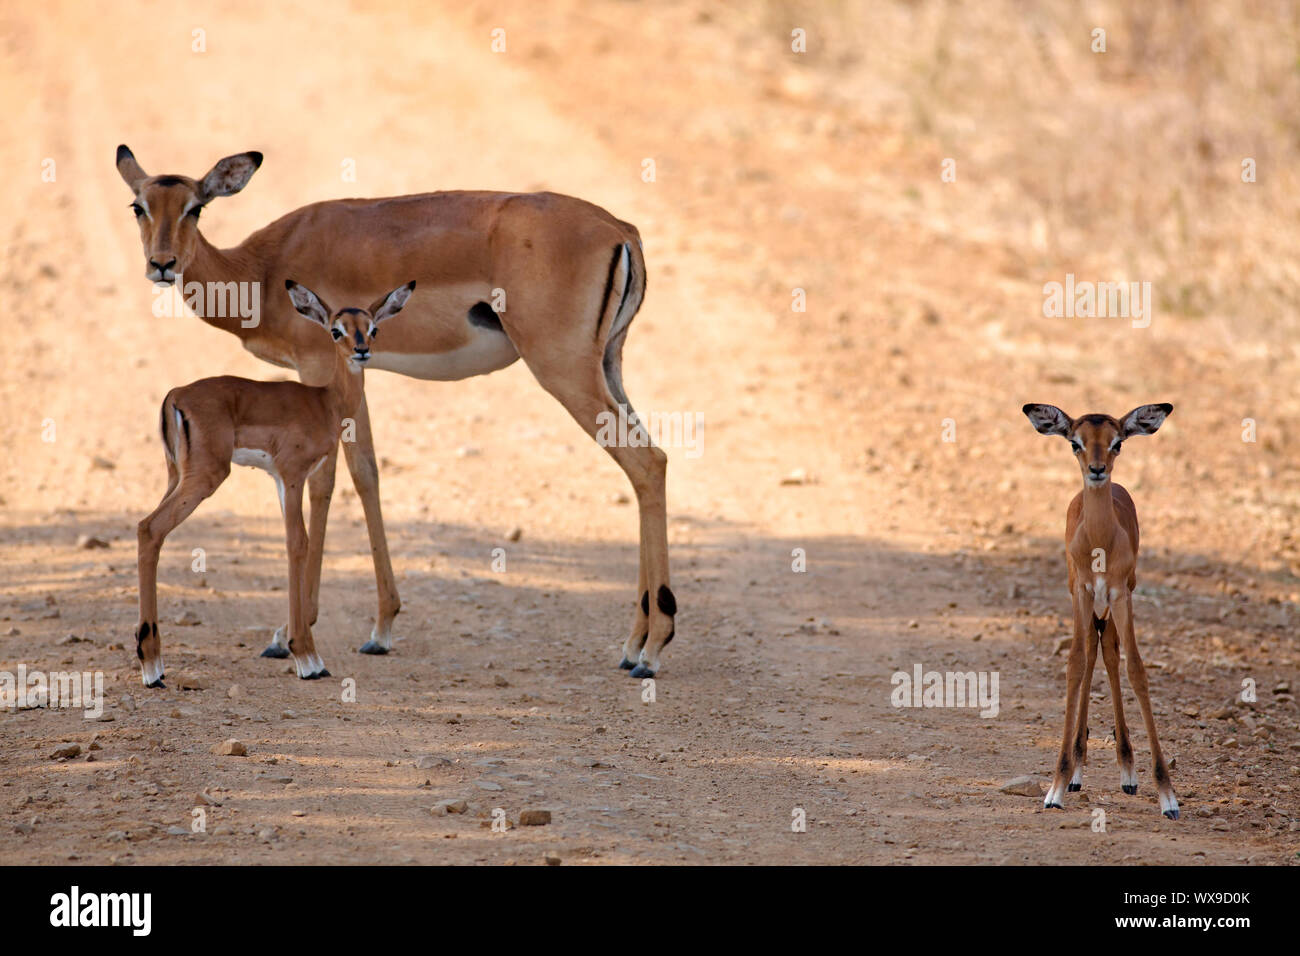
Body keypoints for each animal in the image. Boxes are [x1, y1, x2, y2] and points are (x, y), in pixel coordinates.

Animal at [135, 280, 416, 686]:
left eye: (373, 328)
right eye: (336, 330)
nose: (362, 350)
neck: (326, 402)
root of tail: (174, 395)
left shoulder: (281, 479)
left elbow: (296, 543)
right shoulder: (293, 473)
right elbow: (298, 543)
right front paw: (307, 657)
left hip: (176, 476)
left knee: (145, 527)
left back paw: (150, 661)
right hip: (206, 477)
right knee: (152, 528)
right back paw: (153, 667)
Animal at [1022, 402, 1179, 819]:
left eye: (1117, 442)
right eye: (1074, 442)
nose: (1097, 469)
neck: (1099, 543)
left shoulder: (1121, 595)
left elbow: (1136, 669)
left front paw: (1168, 797)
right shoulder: (1081, 593)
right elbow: (1076, 664)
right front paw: (1055, 788)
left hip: (1110, 605)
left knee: (1108, 651)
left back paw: (1127, 773)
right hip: (1089, 603)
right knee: (1092, 652)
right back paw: (1077, 771)